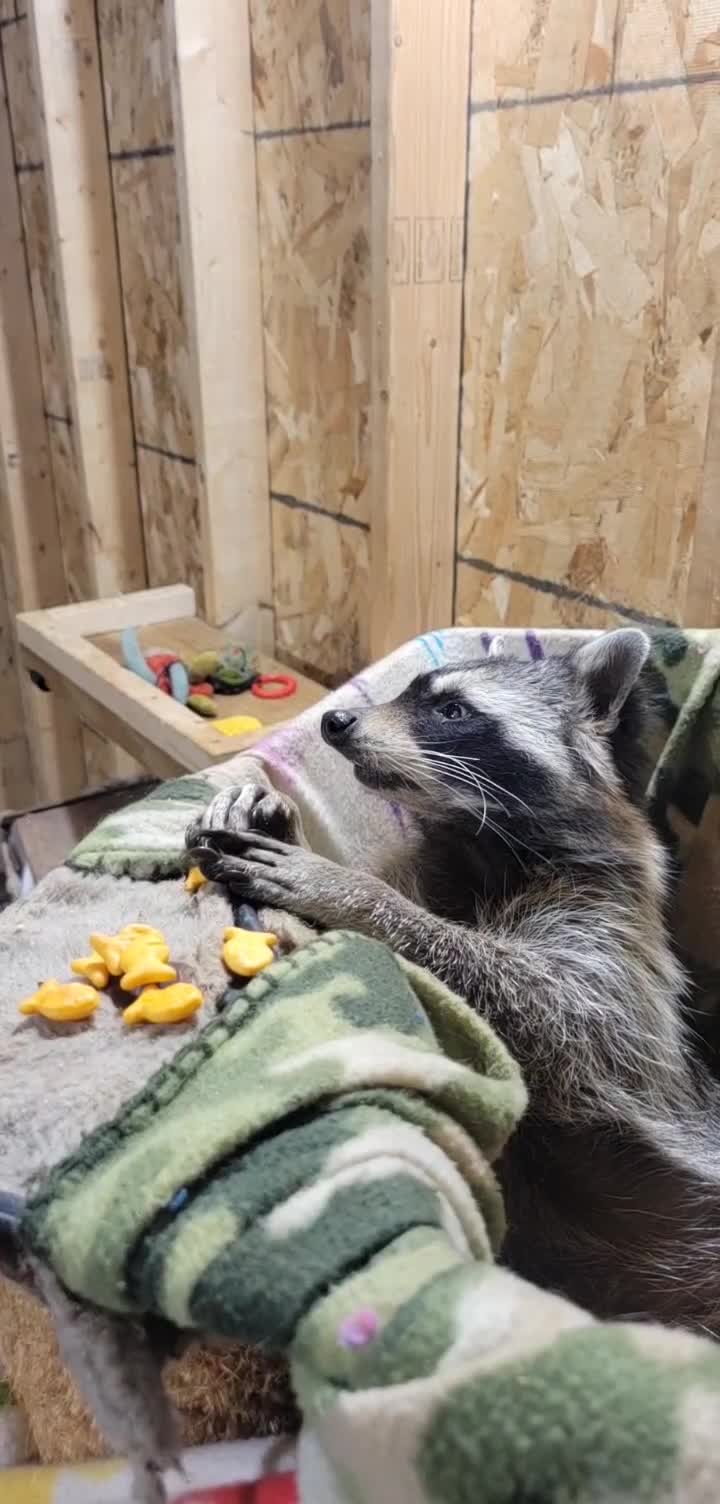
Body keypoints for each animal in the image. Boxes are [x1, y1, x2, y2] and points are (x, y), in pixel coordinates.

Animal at [188, 630, 720, 1333]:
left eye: (452, 710)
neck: (480, 838)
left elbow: (560, 1020)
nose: (336, 721)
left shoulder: (612, 937)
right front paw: (292, 827)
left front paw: (354, 893)